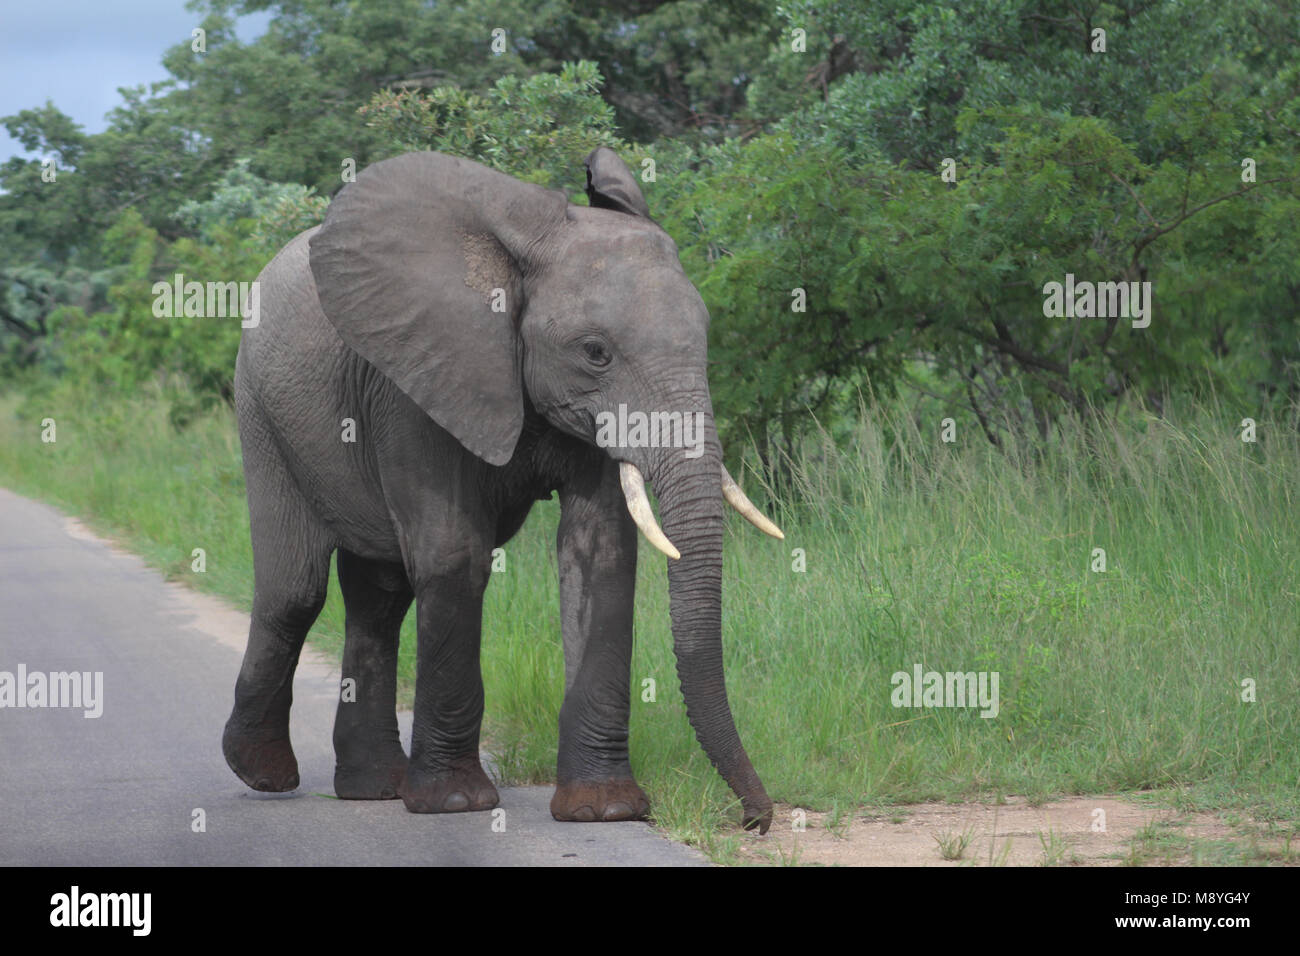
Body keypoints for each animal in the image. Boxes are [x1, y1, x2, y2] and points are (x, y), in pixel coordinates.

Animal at [221, 147, 784, 833]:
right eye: (595, 352)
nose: (756, 818)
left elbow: (599, 555)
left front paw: (604, 810)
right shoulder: (418, 379)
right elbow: (453, 554)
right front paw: (455, 804)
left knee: (378, 594)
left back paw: (374, 788)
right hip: (261, 408)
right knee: (295, 589)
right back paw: (262, 773)